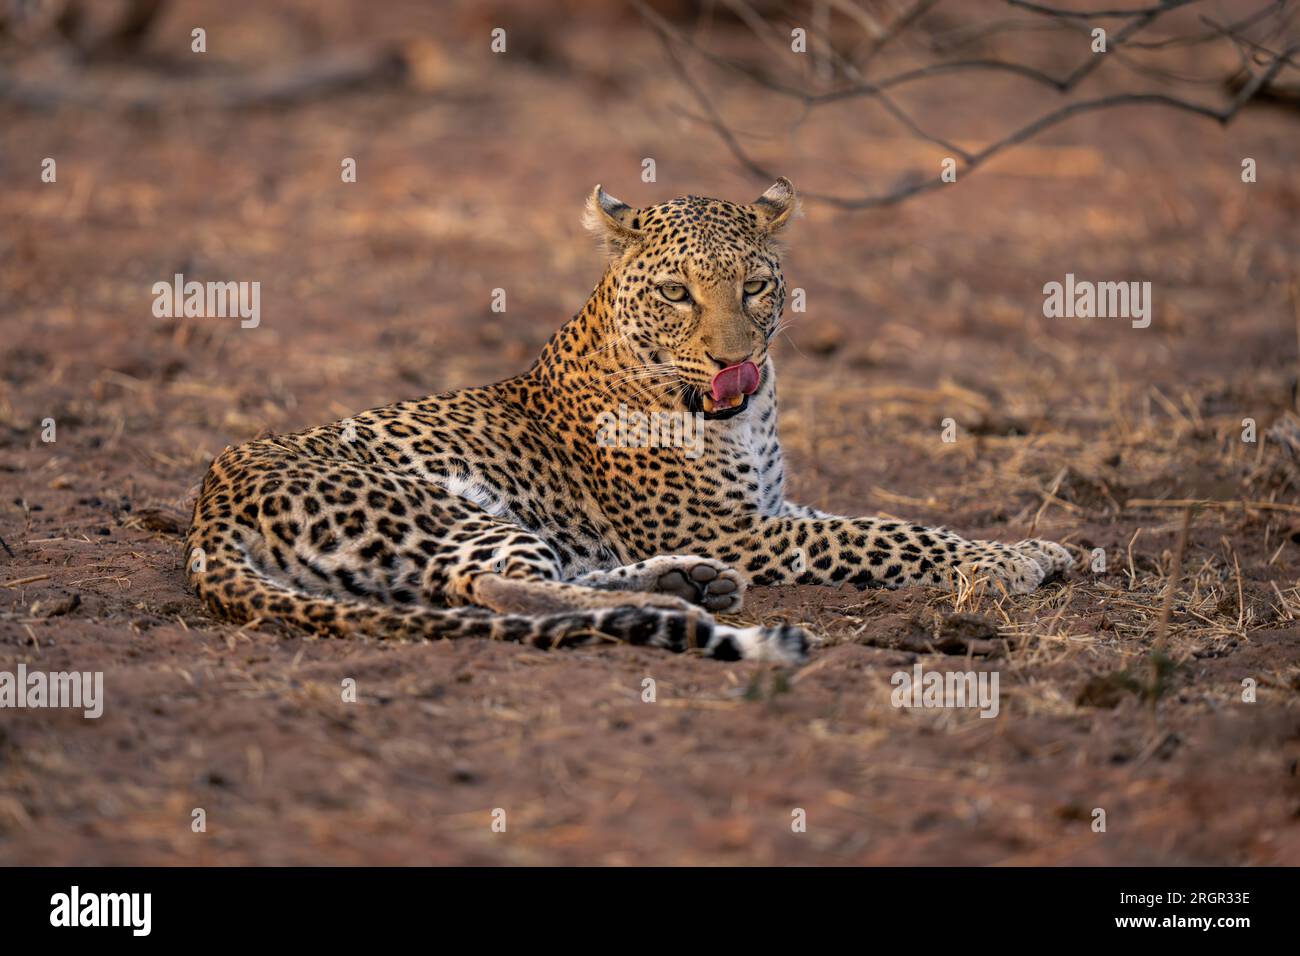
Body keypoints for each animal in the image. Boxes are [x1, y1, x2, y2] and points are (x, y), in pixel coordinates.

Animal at [184, 178, 1073, 664]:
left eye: (755, 286)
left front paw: (1031, 547)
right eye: (677, 292)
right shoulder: (736, 527)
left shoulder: (769, 509)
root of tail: (208, 504)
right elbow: (888, 534)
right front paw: (1006, 562)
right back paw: (679, 607)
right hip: (445, 507)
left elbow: (882, 520)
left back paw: (686, 586)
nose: (734, 361)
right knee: (491, 588)